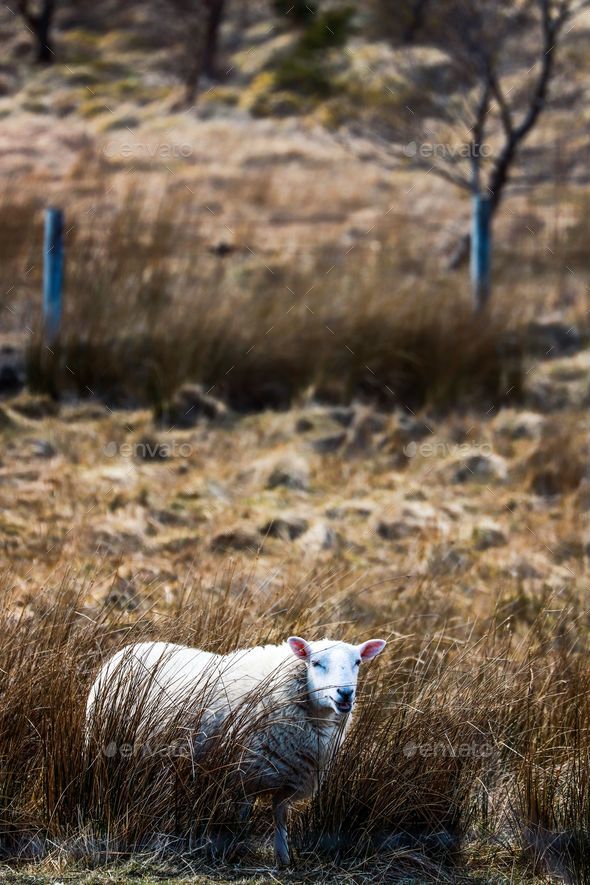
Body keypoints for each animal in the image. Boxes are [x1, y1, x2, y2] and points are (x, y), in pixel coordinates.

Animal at [86, 634, 386, 866]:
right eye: (315, 663)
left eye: (357, 662)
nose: (345, 693)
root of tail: (128, 648)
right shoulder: (245, 770)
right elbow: (243, 815)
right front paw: (239, 849)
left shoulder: (288, 775)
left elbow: (280, 818)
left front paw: (284, 858)